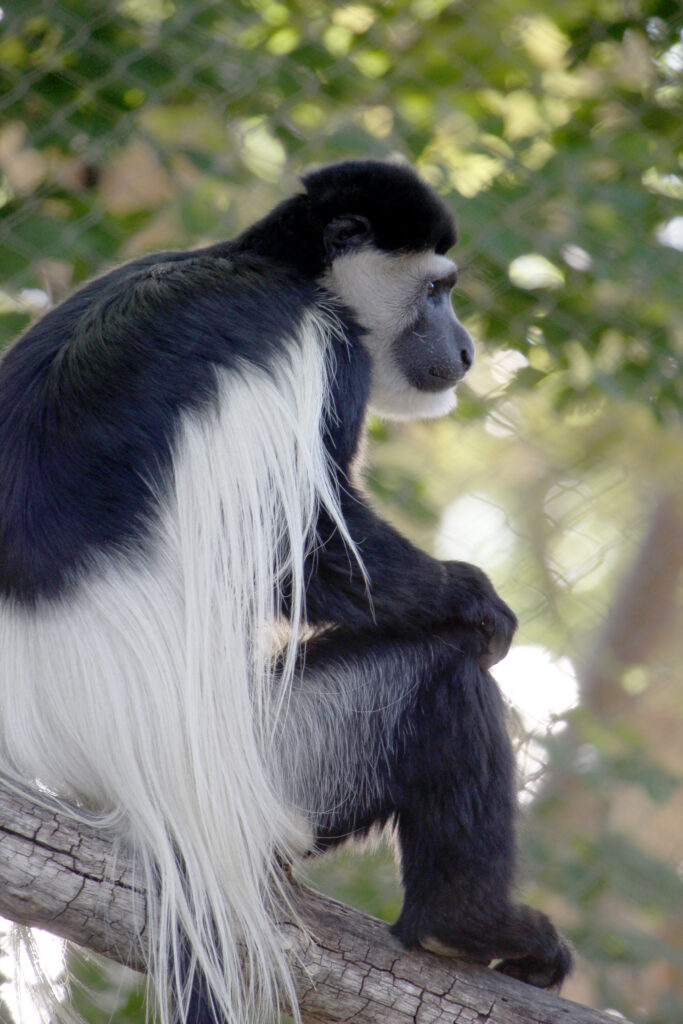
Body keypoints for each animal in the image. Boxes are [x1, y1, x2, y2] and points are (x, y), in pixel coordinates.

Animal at [0, 159, 572, 1024]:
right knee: (439, 679)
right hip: (273, 763)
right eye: (438, 290)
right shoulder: (326, 347)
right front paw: (476, 600)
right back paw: (464, 927)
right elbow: (301, 548)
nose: (467, 349)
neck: (285, 268)